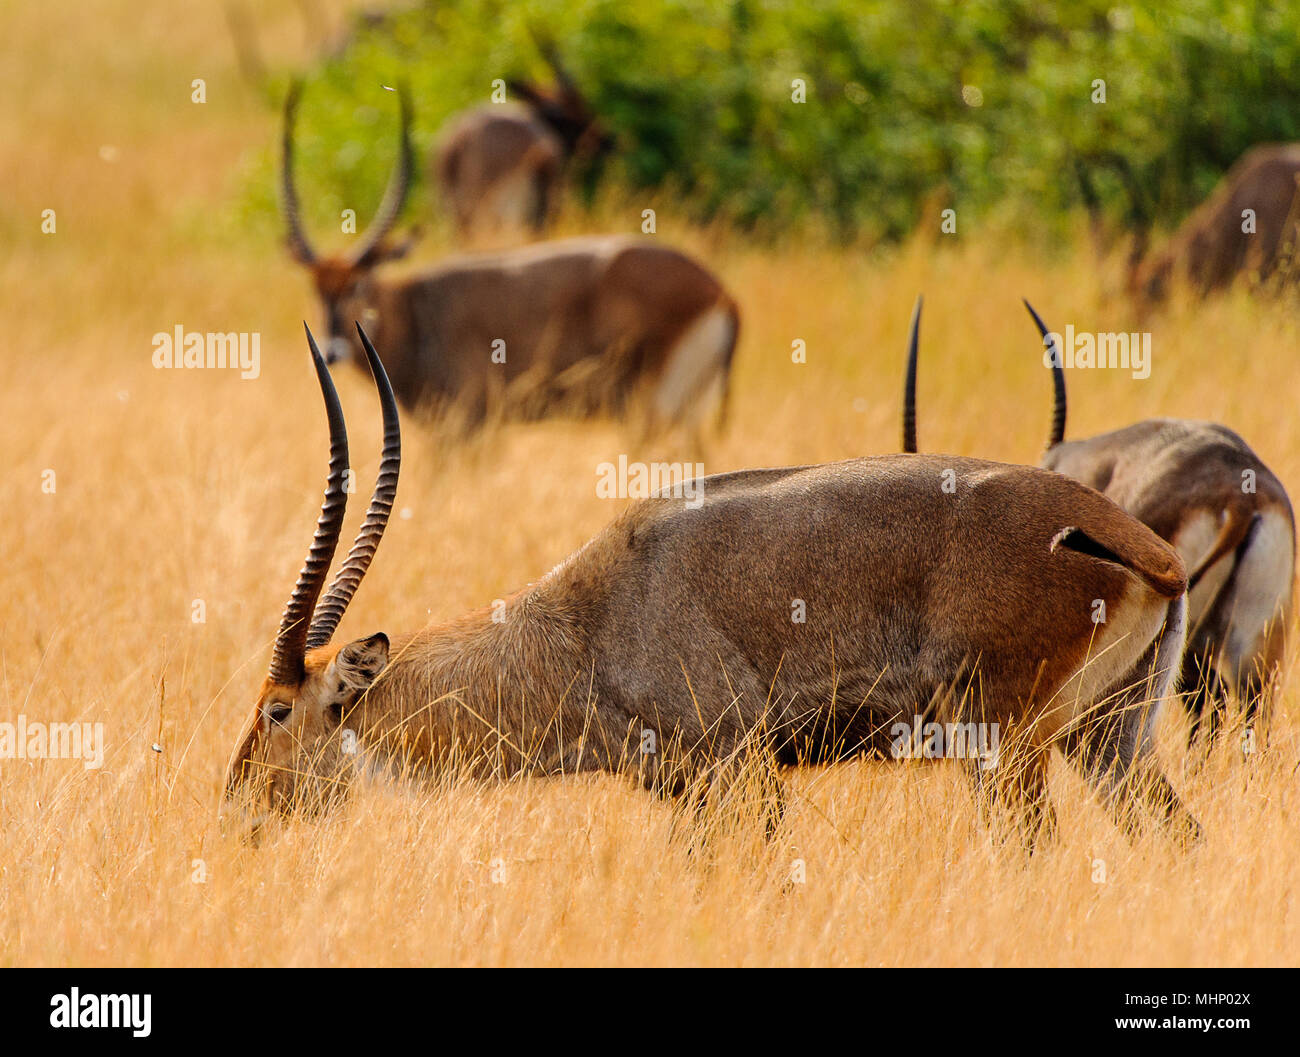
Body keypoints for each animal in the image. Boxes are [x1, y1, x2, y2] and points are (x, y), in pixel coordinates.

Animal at [224, 324, 1201, 850]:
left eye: (278, 708)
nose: (237, 804)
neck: (589, 621)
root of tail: (1140, 545)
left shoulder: (740, 778)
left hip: (1009, 751)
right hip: (1110, 742)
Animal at [282, 85, 736, 433]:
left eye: (359, 283)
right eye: (316, 288)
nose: (332, 350)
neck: (415, 309)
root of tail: (721, 294)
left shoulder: (468, 432)